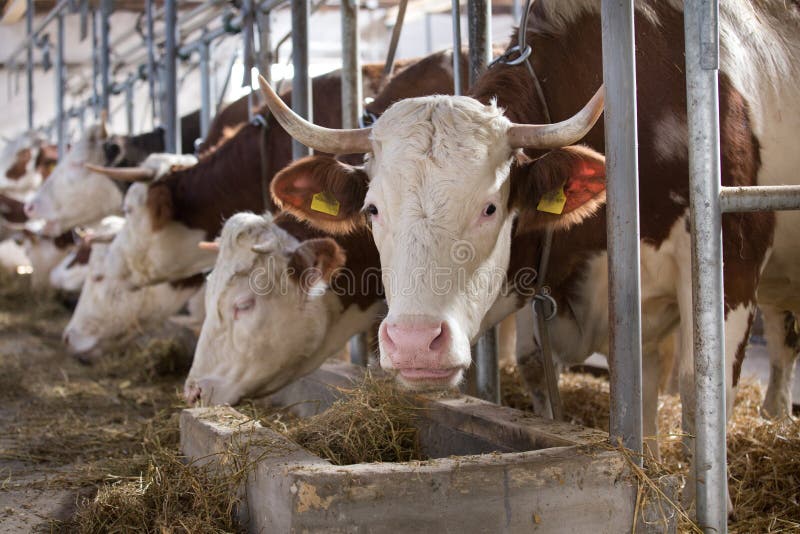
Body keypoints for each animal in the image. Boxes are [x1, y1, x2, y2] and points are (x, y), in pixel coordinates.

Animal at [258, 0, 799, 509]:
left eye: (491, 207)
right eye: (372, 209)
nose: (413, 344)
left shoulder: (733, 255)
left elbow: (699, 389)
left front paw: (700, 504)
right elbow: (562, 372)